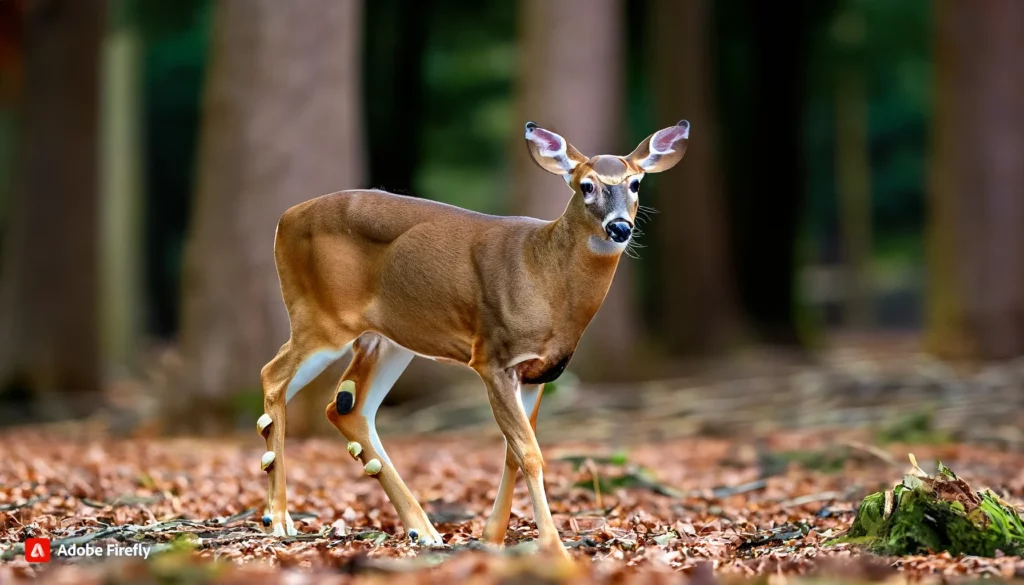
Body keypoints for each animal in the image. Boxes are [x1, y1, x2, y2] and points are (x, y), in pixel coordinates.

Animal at [253, 117, 688, 557]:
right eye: (587, 185)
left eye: (635, 183)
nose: (619, 227)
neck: (547, 276)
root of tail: (282, 221)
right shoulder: (493, 355)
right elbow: (529, 453)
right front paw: (553, 547)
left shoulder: (540, 371)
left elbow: (515, 452)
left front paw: (491, 537)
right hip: (321, 317)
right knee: (273, 373)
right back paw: (281, 518)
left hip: (387, 339)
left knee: (345, 408)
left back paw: (422, 529)